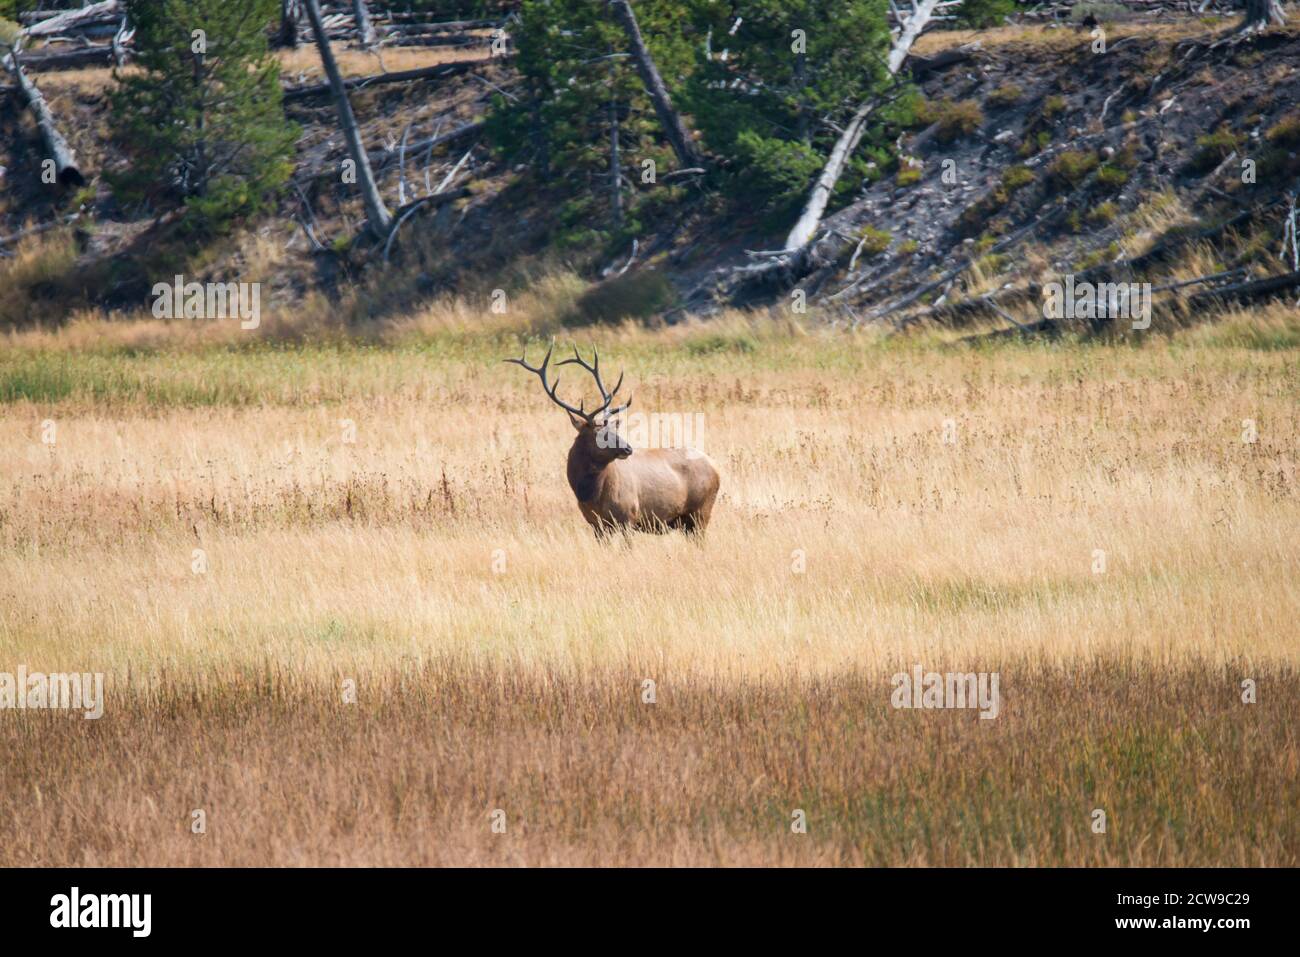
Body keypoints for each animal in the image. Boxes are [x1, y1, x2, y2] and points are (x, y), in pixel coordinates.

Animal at [505, 344, 720, 537]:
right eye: (601, 434)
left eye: (614, 428)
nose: (628, 449)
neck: (590, 495)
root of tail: (715, 467)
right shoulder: (596, 525)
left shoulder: (628, 517)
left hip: (701, 512)